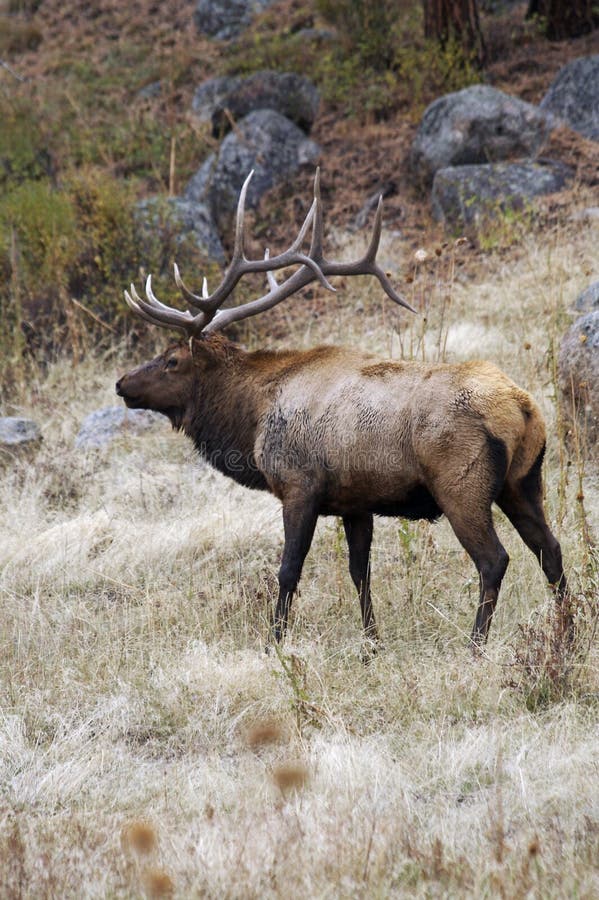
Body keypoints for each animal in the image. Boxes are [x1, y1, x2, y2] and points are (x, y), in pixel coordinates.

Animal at [116, 170, 571, 650]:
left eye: (171, 360)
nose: (122, 383)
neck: (252, 421)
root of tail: (522, 409)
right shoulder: (356, 501)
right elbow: (360, 573)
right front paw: (372, 644)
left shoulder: (300, 484)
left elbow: (288, 571)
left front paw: (274, 642)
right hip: (523, 481)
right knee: (551, 550)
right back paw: (568, 629)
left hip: (461, 483)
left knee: (494, 559)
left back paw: (475, 645)